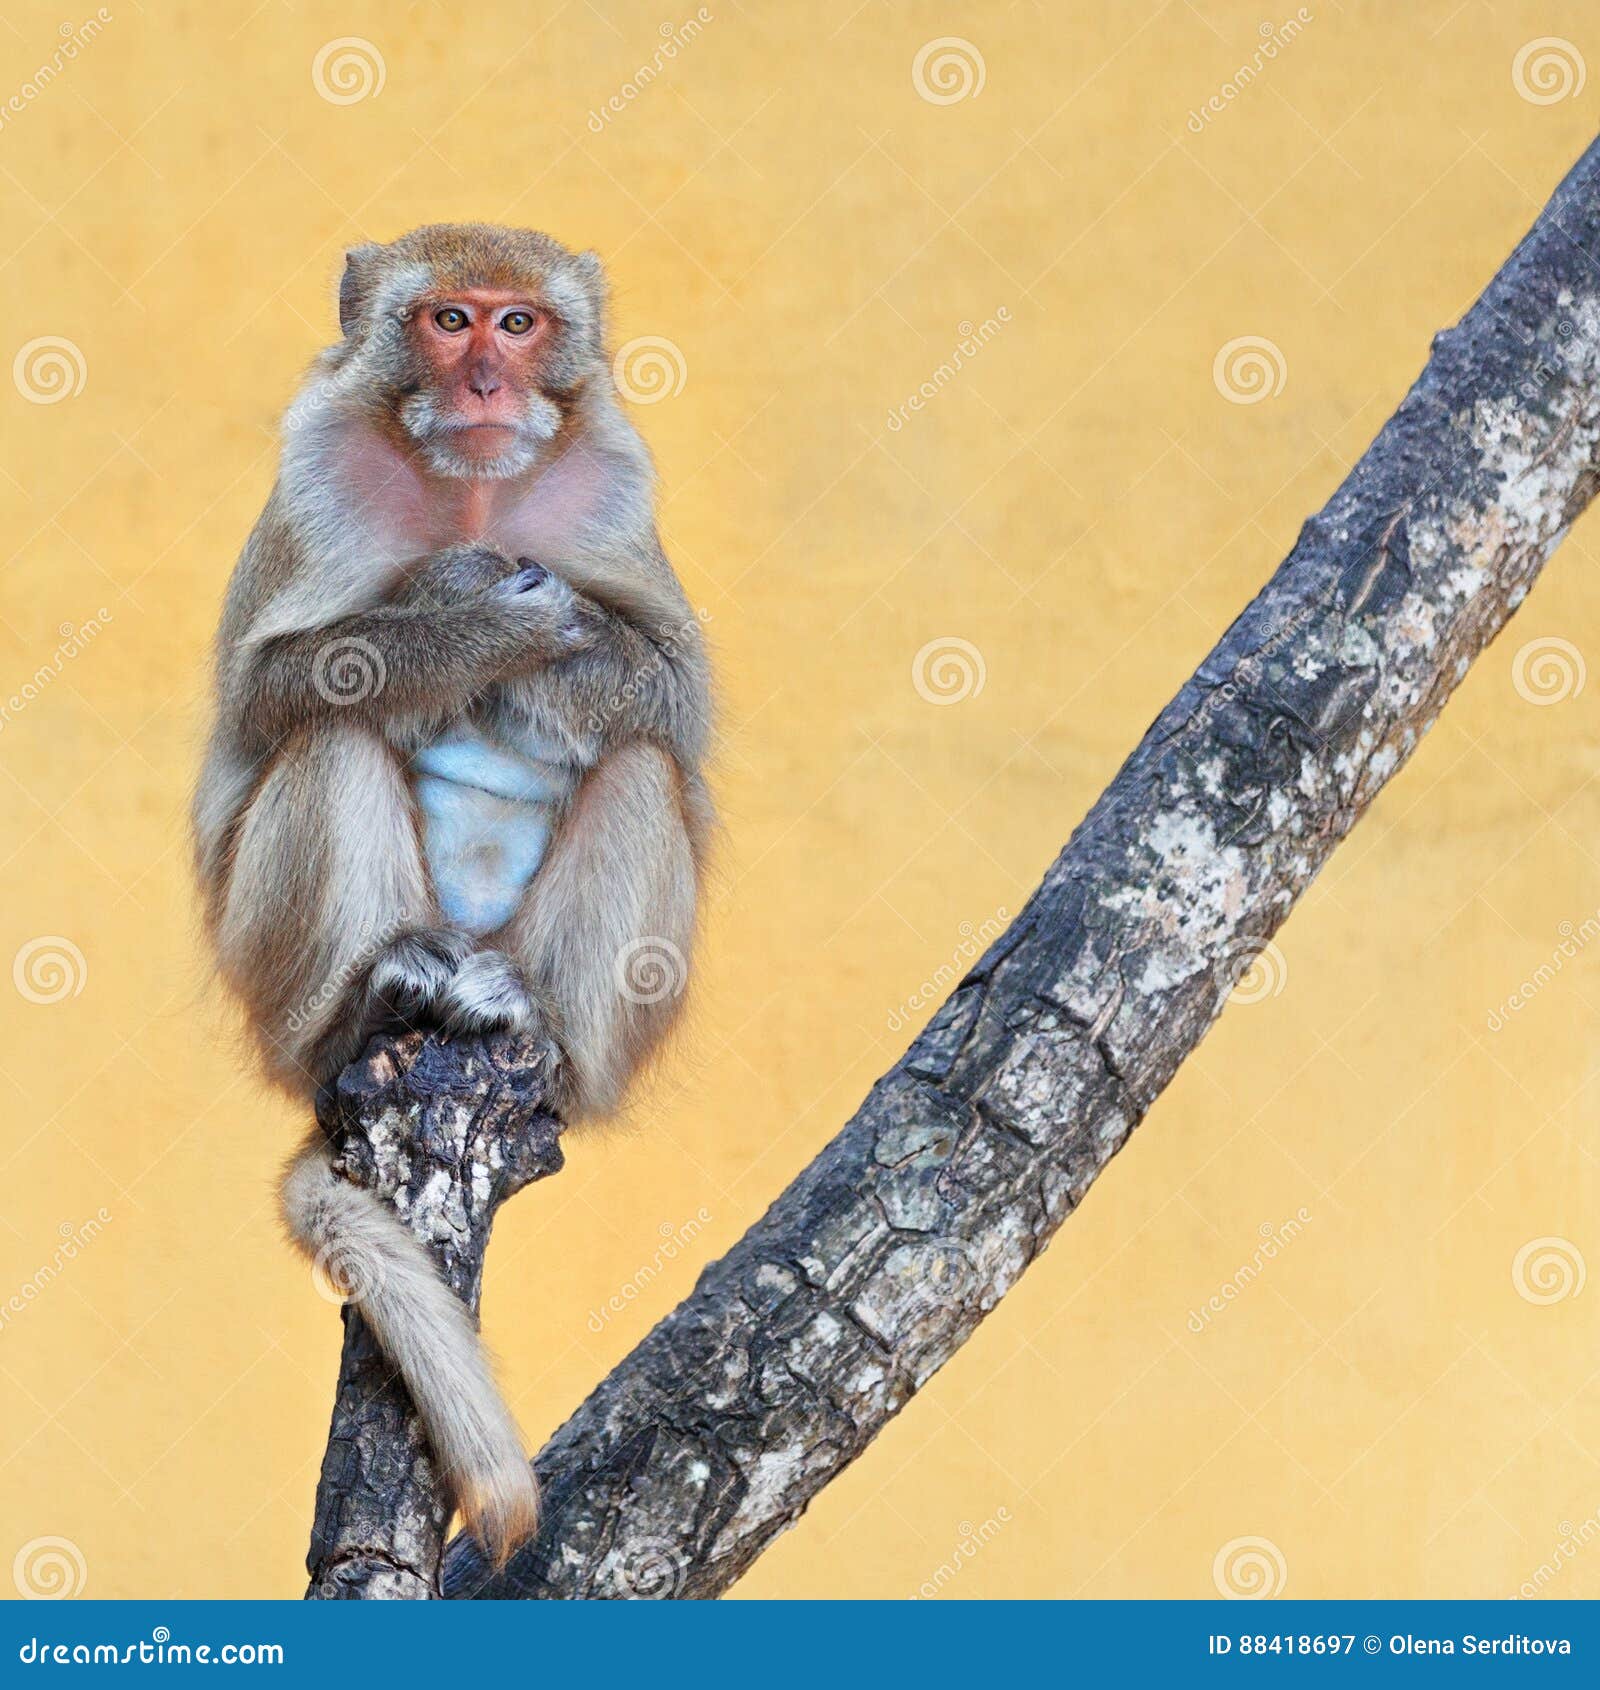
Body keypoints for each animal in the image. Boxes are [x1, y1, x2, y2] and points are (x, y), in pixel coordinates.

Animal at [192, 225, 713, 1564]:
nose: (483, 380)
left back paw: (530, 1029)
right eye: (449, 318)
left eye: (518, 324)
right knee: (331, 737)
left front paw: (526, 608)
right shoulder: (314, 467)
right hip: (273, 985)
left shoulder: (619, 481)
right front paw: (471, 599)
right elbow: (271, 693)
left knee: (639, 764)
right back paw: (376, 998)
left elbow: (672, 700)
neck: (470, 485)